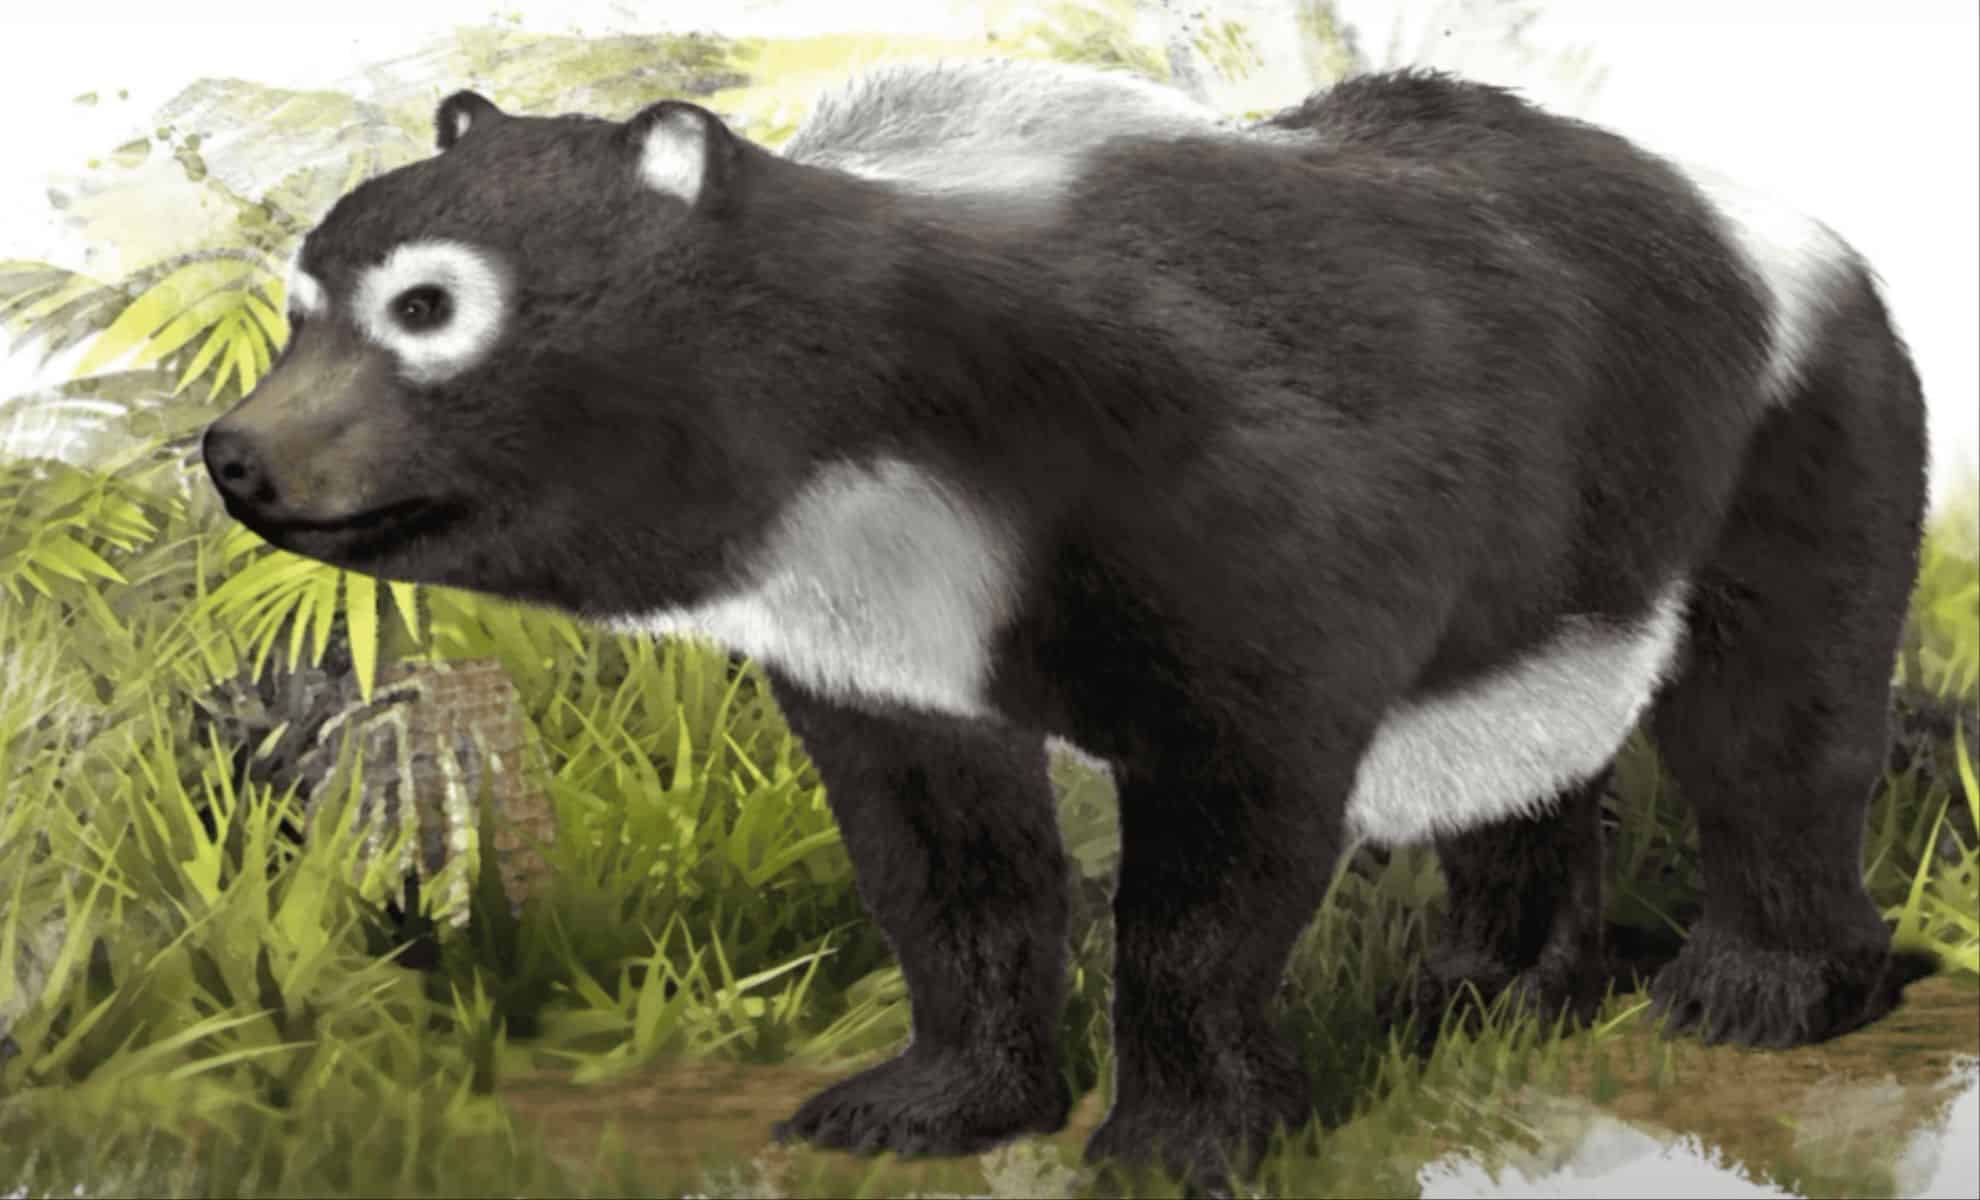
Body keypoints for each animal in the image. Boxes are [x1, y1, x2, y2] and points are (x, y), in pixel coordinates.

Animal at [202, 56, 1931, 1194]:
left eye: (432, 306)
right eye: (300, 302)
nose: (236, 454)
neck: (903, 406)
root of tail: (1797, 231)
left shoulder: (1233, 494)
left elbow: (1229, 819)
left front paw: (1179, 1135)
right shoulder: (887, 609)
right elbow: (941, 850)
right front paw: (924, 1100)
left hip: (1786, 426)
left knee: (1773, 714)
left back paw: (1762, 987)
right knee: (1522, 745)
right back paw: (1488, 985)